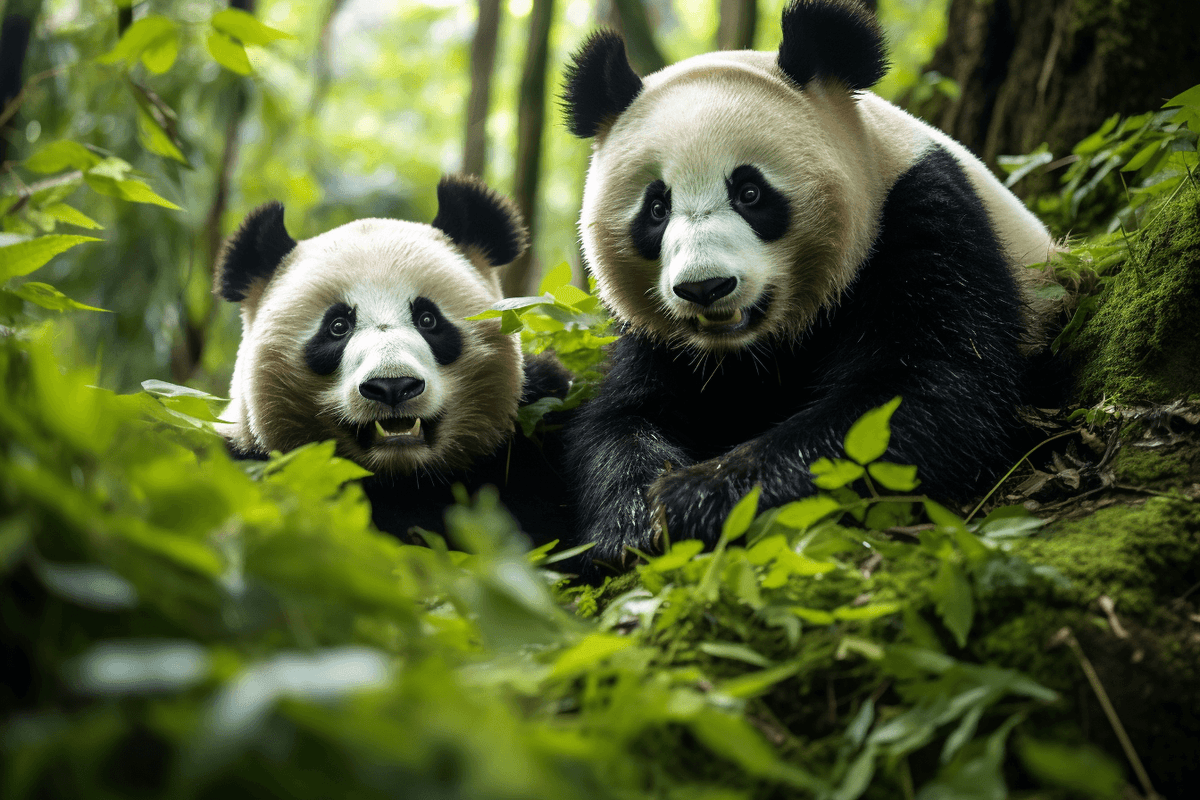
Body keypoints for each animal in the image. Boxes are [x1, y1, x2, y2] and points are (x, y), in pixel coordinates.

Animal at [560, 0, 1060, 573]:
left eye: (750, 192)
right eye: (657, 208)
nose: (706, 288)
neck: (750, 349)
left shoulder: (922, 218)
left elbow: (922, 392)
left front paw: (693, 497)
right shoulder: (659, 342)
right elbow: (628, 412)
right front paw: (631, 518)